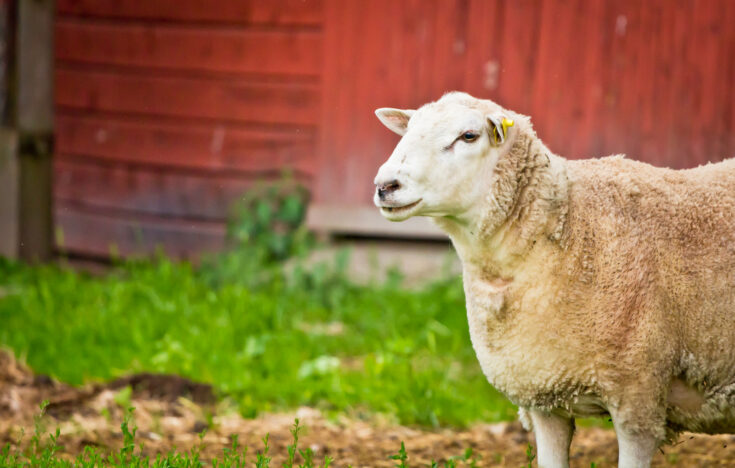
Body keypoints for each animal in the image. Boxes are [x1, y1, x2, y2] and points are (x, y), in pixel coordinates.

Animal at [372, 91, 735, 468]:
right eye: (408, 130)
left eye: (468, 136)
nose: (385, 185)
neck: (572, 228)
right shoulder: (545, 398)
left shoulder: (638, 400)